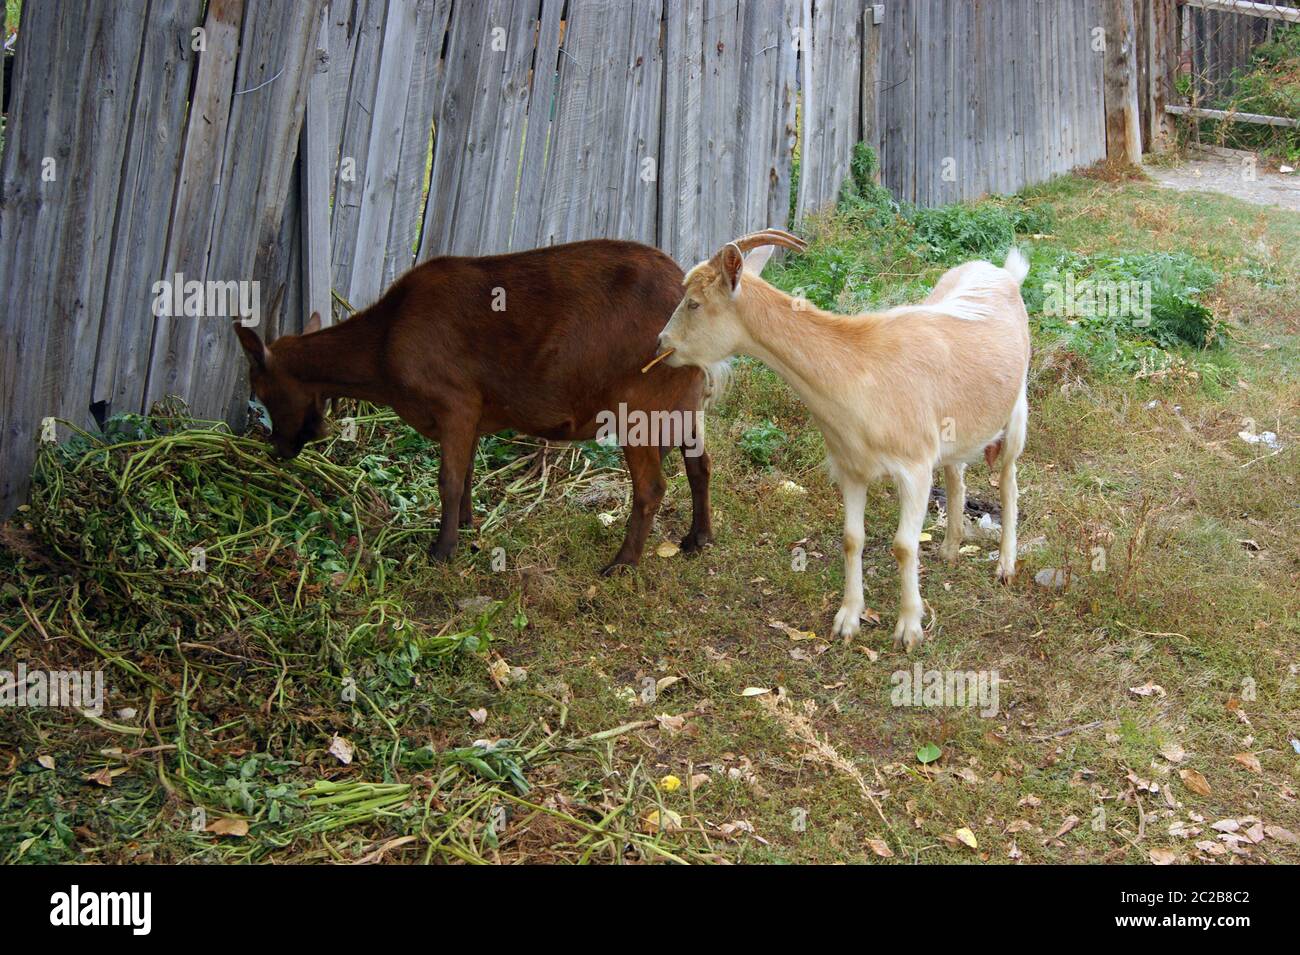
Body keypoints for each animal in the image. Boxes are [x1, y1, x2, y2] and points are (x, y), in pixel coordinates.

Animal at [234, 240, 715, 573]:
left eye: (260, 390)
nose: (279, 448)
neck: (386, 345)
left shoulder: (455, 401)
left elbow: (446, 479)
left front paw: (441, 551)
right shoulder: (475, 413)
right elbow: (465, 471)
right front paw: (465, 524)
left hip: (639, 404)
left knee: (651, 487)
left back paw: (622, 564)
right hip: (685, 402)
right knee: (701, 464)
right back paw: (699, 538)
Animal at [656, 230, 1031, 651]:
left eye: (694, 303)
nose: (661, 343)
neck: (858, 372)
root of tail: (1005, 274)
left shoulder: (914, 468)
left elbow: (904, 545)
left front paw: (909, 628)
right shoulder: (850, 466)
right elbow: (852, 538)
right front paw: (847, 621)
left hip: (1017, 408)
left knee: (1008, 481)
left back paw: (1005, 566)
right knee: (956, 473)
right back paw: (951, 548)